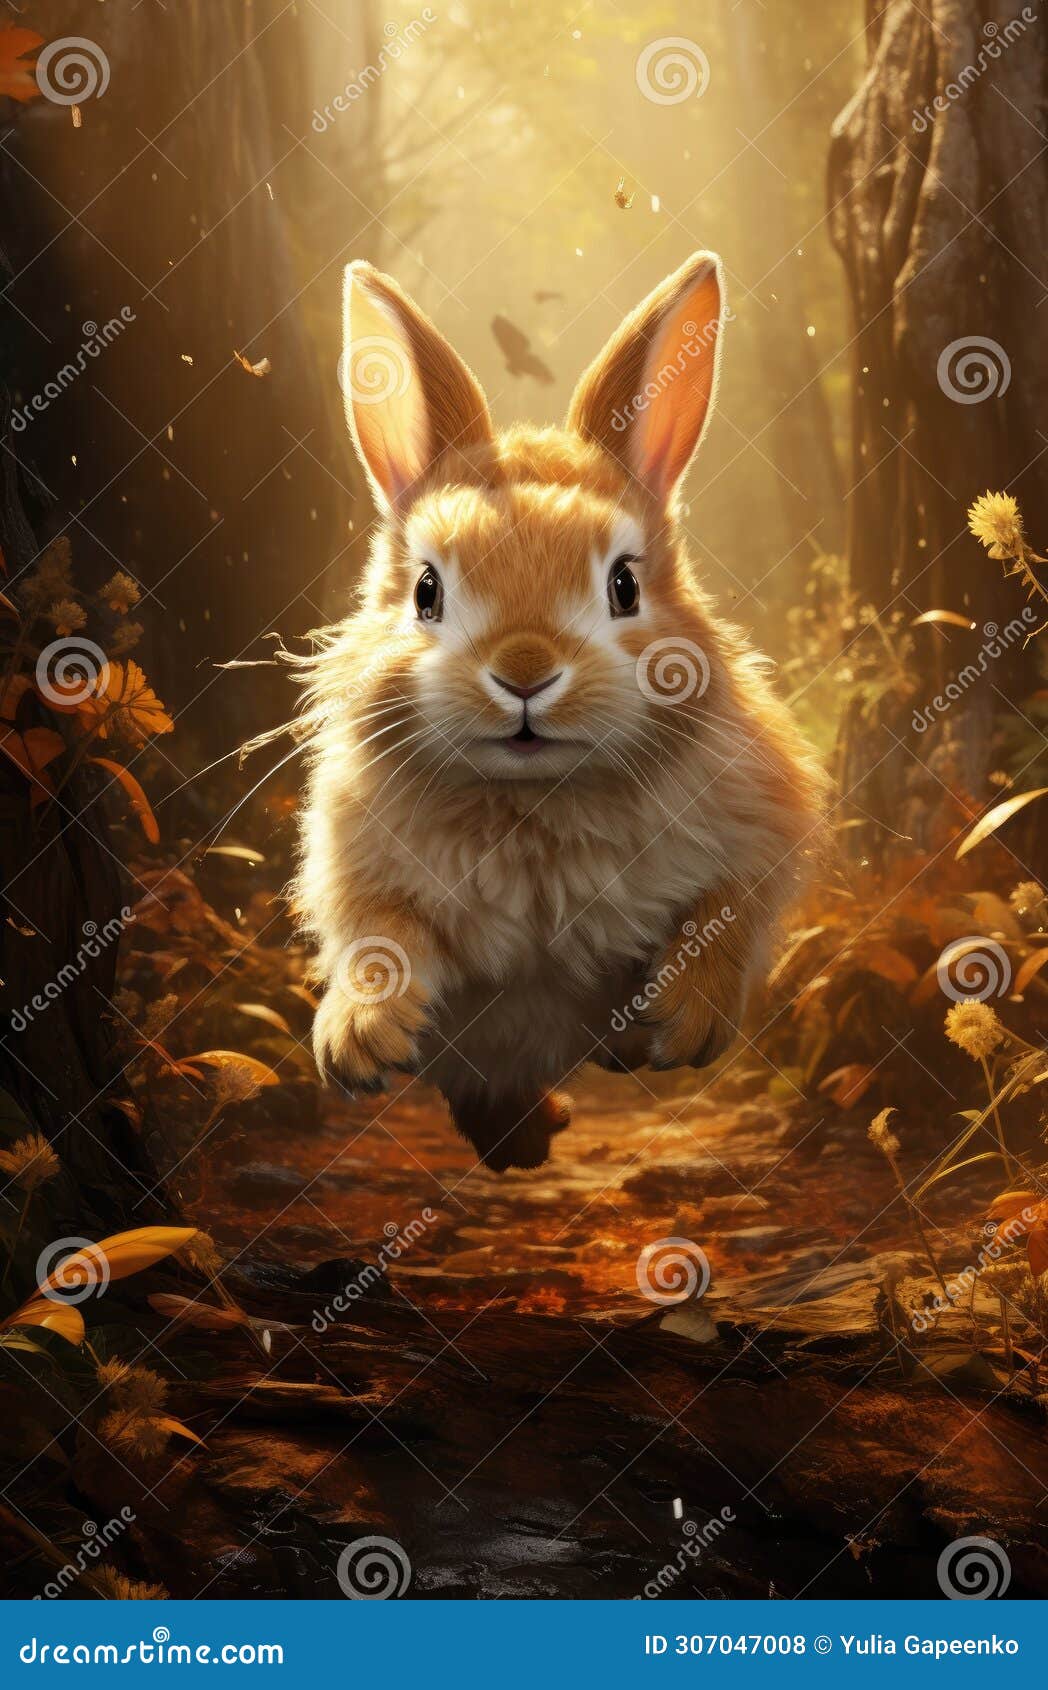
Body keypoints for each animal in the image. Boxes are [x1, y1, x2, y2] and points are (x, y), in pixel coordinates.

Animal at [294, 251, 826, 1172]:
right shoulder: (356, 868)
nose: (524, 673)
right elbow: (377, 941)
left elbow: (723, 918)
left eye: (624, 587)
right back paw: (528, 1138)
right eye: (427, 591)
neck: (534, 799)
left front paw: (683, 1025)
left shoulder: (759, 831)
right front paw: (359, 1041)